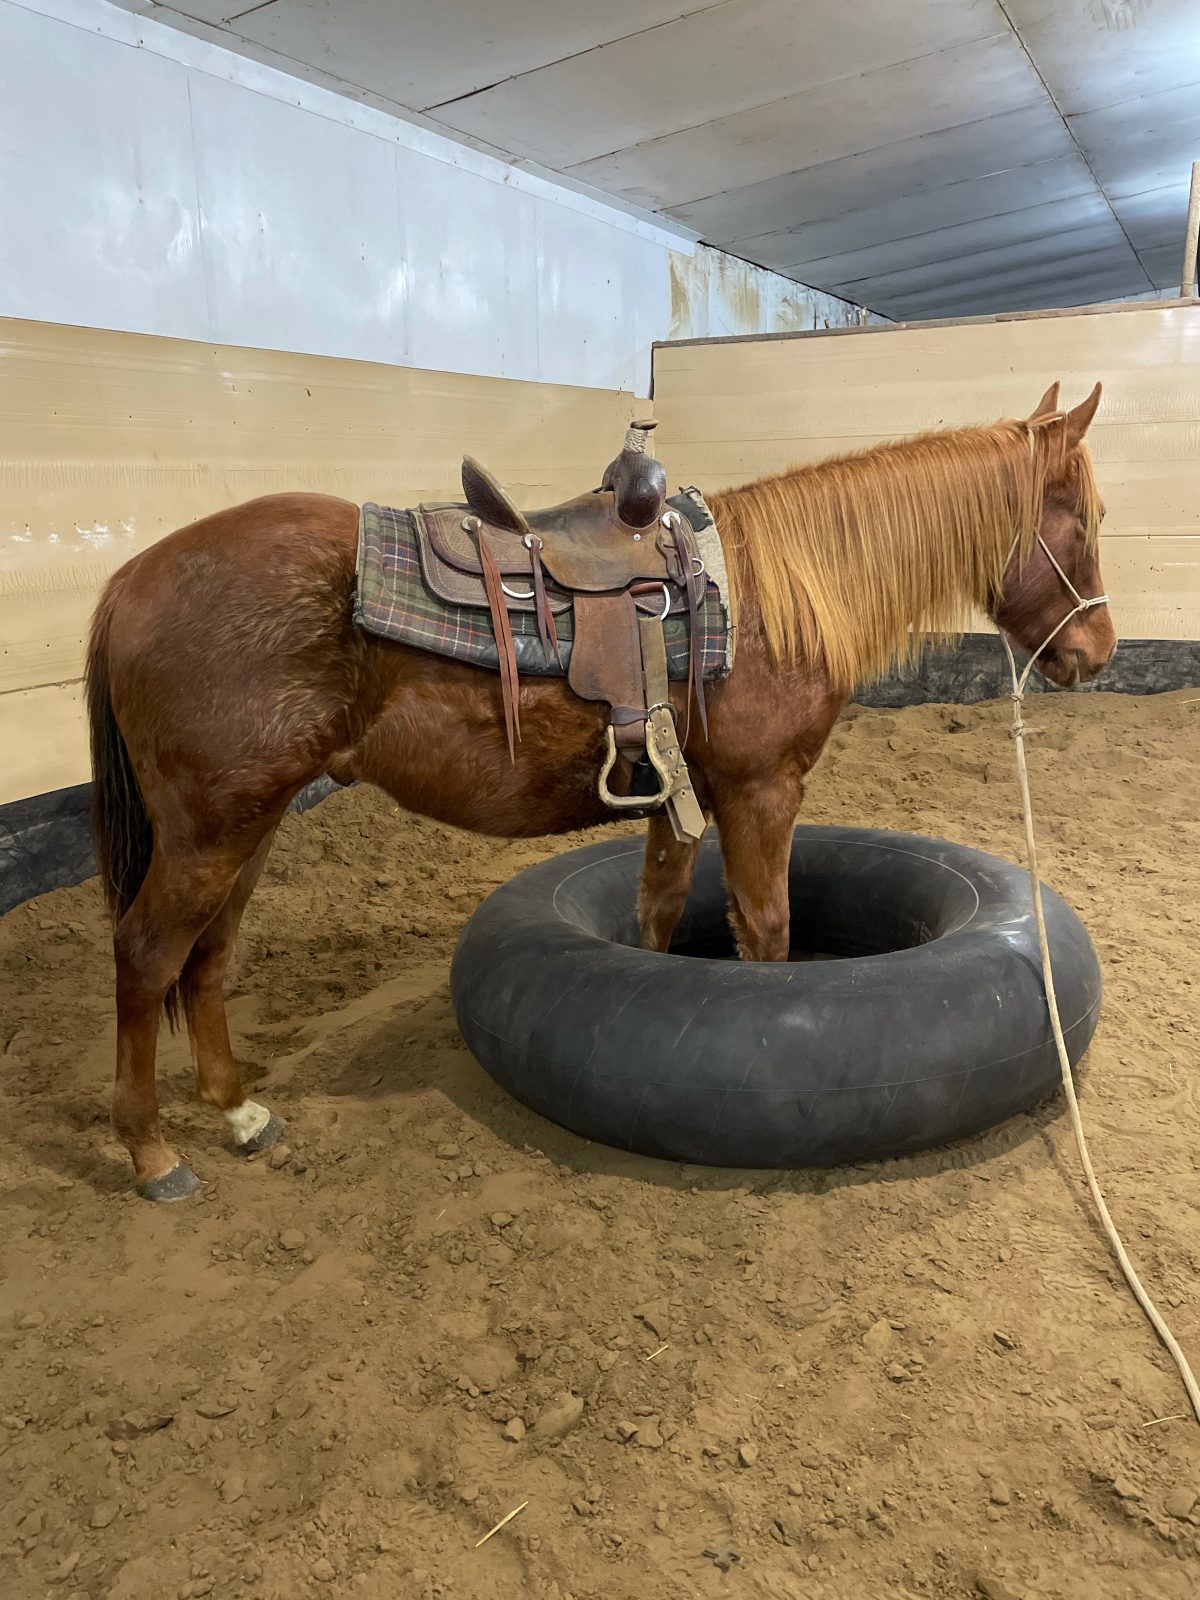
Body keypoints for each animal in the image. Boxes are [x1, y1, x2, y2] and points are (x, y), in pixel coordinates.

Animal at [85, 380, 1115, 1199]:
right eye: (1088, 518)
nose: (1097, 653)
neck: (769, 597)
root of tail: (132, 577)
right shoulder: (760, 793)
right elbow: (767, 934)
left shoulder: (675, 801)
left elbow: (659, 913)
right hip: (210, 830)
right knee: (144, 954)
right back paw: (152, 1153)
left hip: (248, 824)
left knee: (208, 956)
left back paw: (237, 1111)